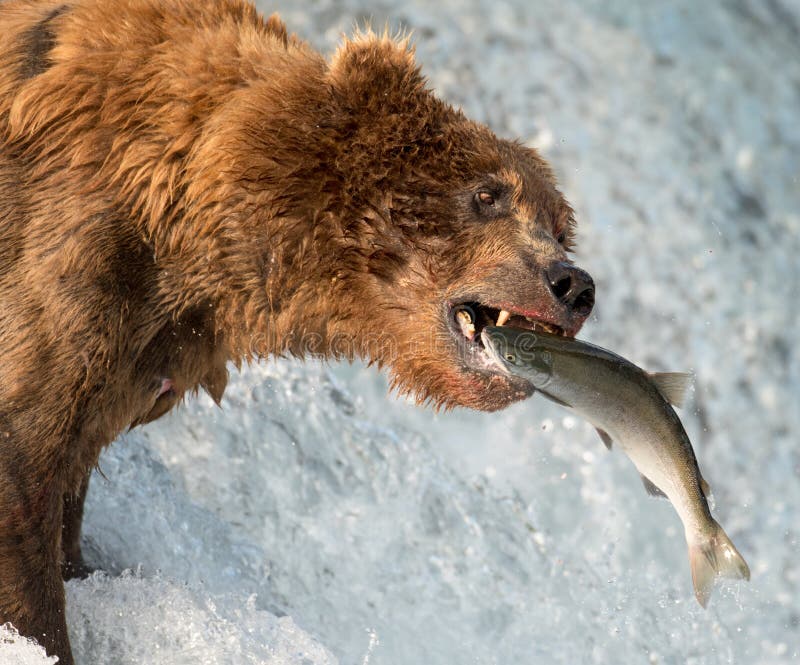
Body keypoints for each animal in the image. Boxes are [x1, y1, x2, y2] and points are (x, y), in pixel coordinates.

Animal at [0, 0, 595, 662]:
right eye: (486, 194)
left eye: (559, 227)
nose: (572, 283)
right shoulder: (78, 253)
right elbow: (25, 464)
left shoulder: (142, 357)